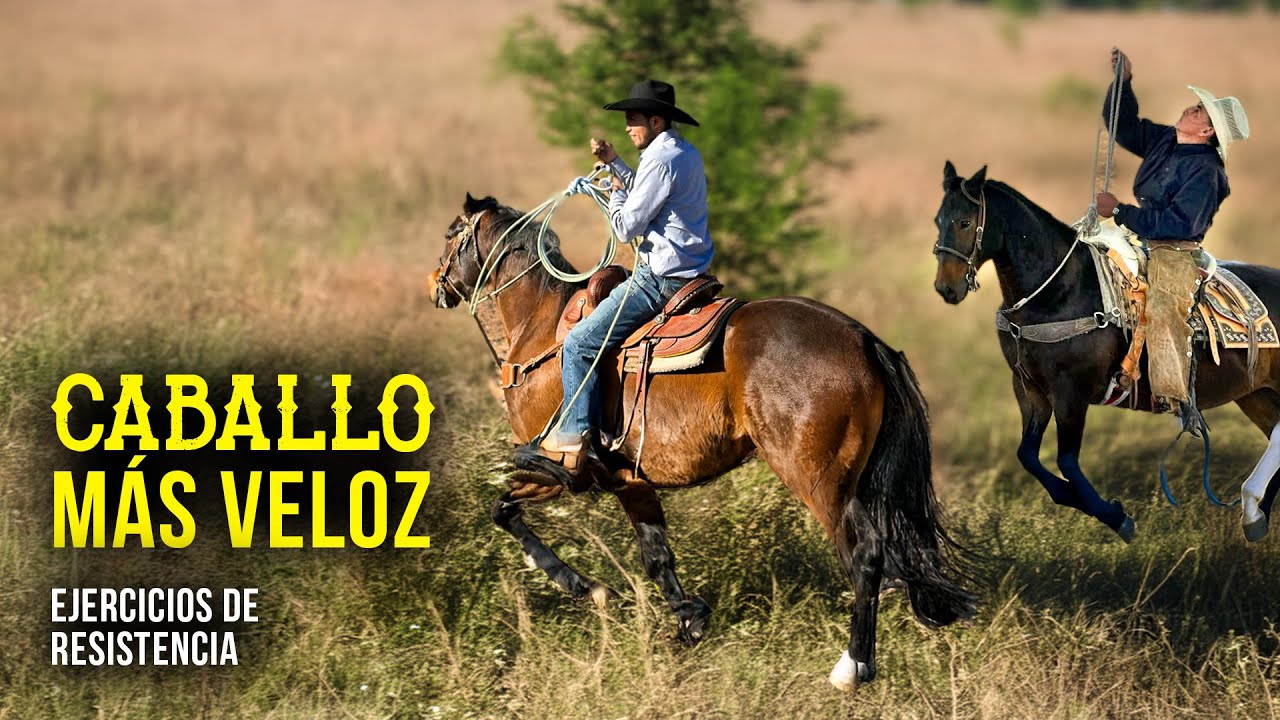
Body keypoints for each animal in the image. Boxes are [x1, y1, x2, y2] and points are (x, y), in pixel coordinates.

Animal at [428, 192, 975, 689]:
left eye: (452, 232)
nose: (437, 285)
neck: (541, 328)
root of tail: (862, 339)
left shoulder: (559, 470)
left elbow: (504, 509)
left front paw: (585, 587)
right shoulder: (630, 481)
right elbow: (655, 556)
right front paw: (689, 619)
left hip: (819, 480)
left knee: (864, 555)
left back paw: (852, 668)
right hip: (855, 479)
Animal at [932, 161, 1280, 543]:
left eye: (965, 222)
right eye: (938, 220)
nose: (946, 287)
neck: (1058, 292)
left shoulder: (1071, 394)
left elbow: (1067, 461)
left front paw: (1117, 517)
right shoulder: (1029, 391)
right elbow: (1028, 456)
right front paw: (1085, 502)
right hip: (1255, 395)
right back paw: (1256, 516)